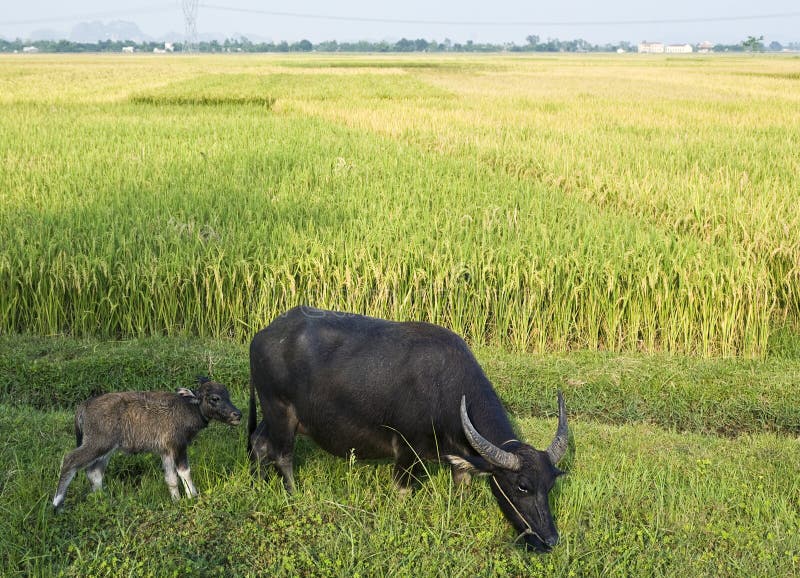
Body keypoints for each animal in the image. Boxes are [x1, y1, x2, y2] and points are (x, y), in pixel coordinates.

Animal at [52, 376, 242, 509]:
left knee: (94, 472)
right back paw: (57, 504)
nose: (237, 414)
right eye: (214, 398)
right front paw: (192, 497)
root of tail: (84, 406)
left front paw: (176, 500)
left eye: (228, 395)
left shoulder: (165, 451)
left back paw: (104, 499)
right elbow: (184, 472)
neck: (188, 408)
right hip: (96, 444)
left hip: (105, 450)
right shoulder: (178, 446)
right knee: (70, 460)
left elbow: (171, 478)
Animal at [248, 306, 569, 551]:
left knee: (259, 443)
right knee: (282, 455)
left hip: (272, 414)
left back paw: (258, 482)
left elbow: (462, 487)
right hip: (279, 410)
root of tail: (263, 335)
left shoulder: (459, 460)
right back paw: (293, 494)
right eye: (522, 485)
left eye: (550, 485)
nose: (550, 539)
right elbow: (402, 492)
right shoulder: (406, 452)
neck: (445, 391)